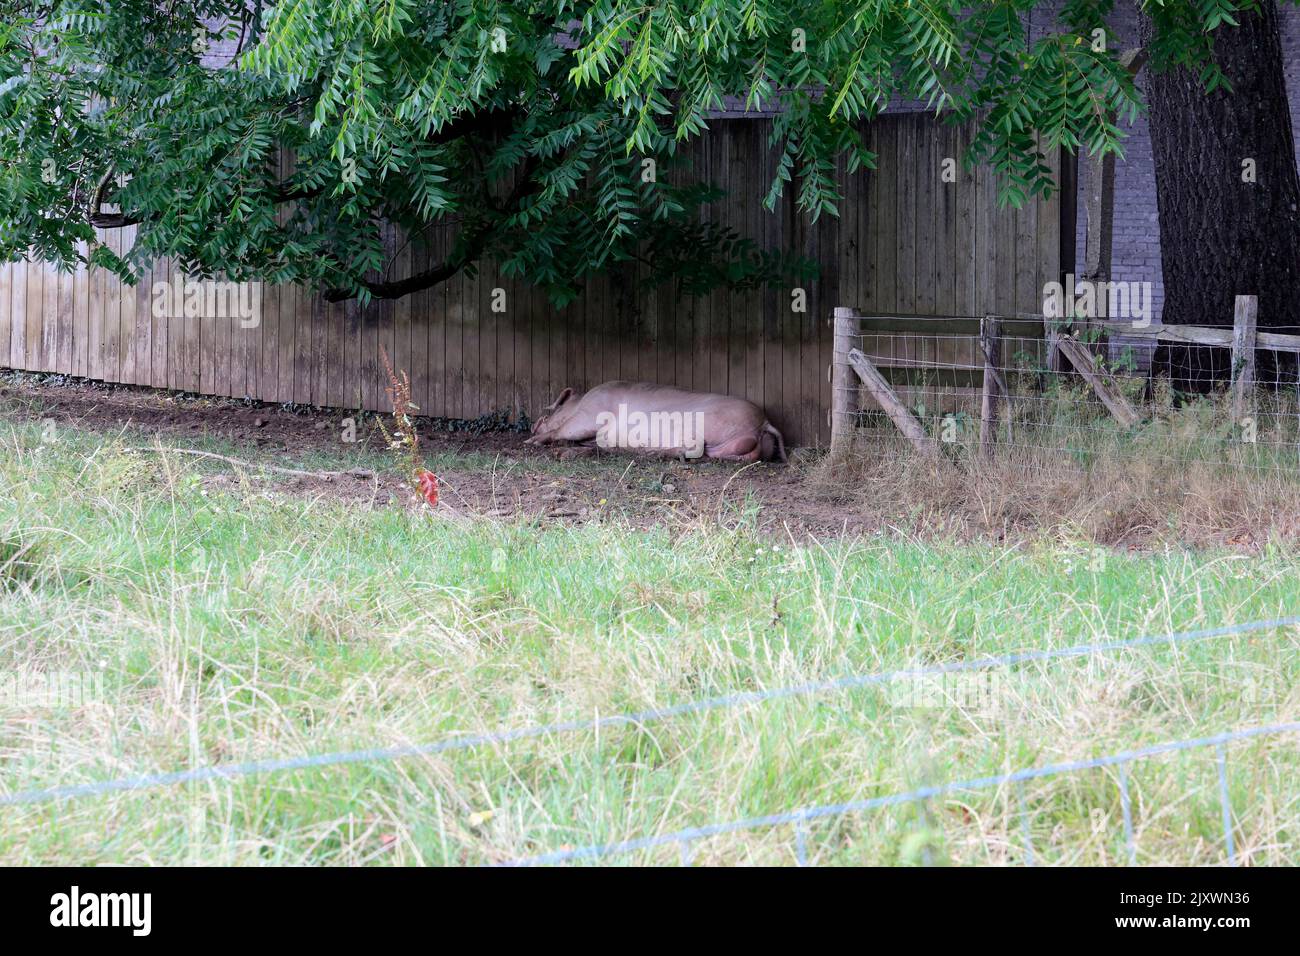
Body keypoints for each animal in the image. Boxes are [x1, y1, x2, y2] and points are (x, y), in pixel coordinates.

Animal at [525, 381, 787, 463]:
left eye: (551, 410)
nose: (532, 424)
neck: (579, 403)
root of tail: (763, 423)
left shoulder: (591, 413)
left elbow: (562, 430)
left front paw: (531, 442)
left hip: (696, 424)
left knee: (693, 449)